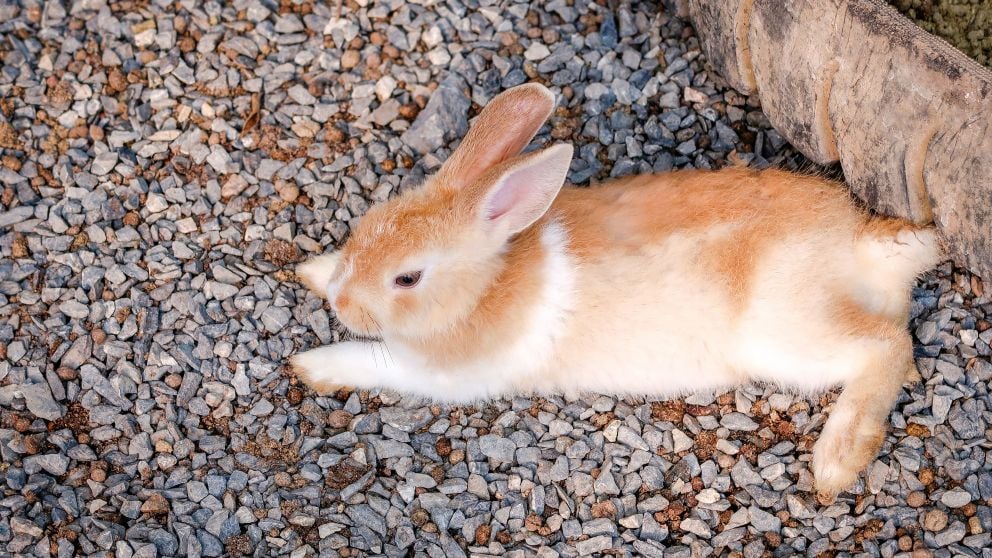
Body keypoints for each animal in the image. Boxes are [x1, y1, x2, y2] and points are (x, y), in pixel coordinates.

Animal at [291, 82, 942, 501]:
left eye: (408, 278)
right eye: (365, 227)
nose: (342, 303)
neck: (486, 282)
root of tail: (863, 240)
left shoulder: (443, 372)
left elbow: (374, 360)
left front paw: (310, 365)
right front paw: (313, 271)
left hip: (788, 335)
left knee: (887, 346)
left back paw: (835, 464)